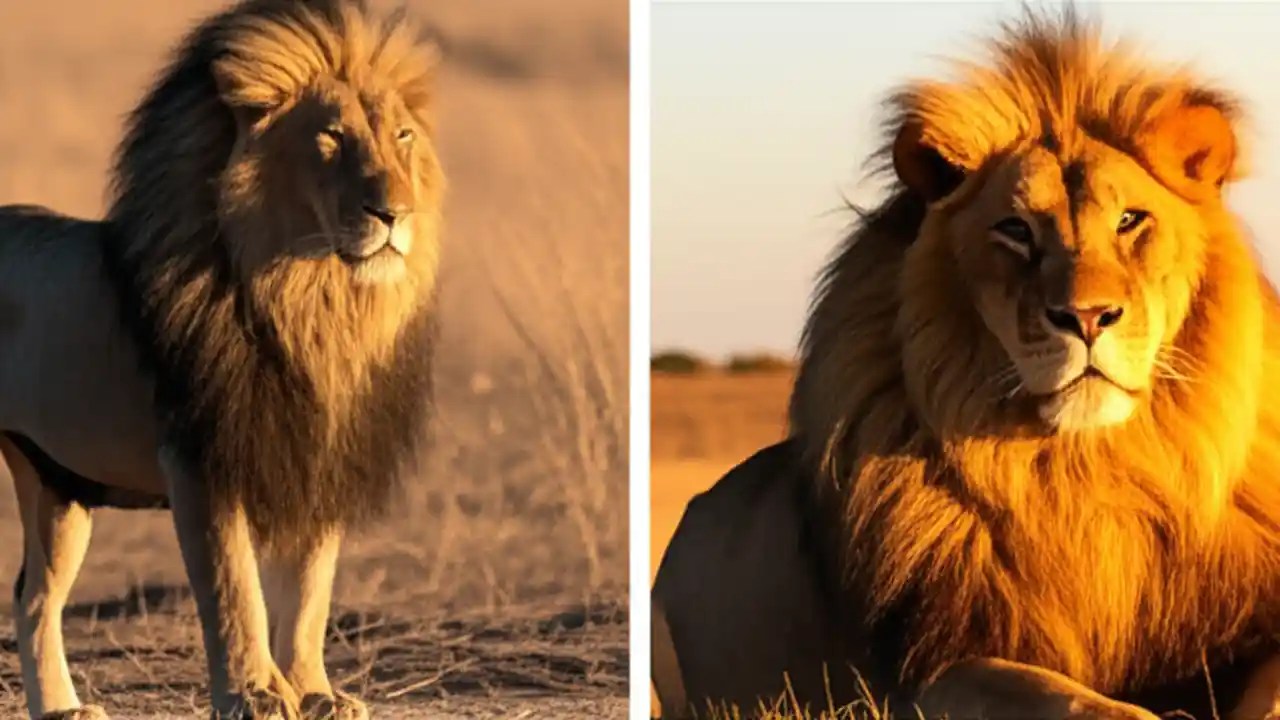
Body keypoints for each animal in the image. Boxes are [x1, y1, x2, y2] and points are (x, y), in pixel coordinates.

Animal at [2, 1, 443, 718]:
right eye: (330, 138)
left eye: (402, 136)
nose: (393, 213)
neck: (312, 305)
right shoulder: (200, 460)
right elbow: (235, 591)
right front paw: (255, 694)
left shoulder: (318, 456)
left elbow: (311, 592)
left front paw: (316, 692)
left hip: (56, 486)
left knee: (33, 597)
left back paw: (64, 708)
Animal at [653, 9, 1280, 720]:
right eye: (1015, 230)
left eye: (1130, 220)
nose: (1088, 317)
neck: (1083, 472)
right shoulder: (926, 672)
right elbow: (1063, 696)